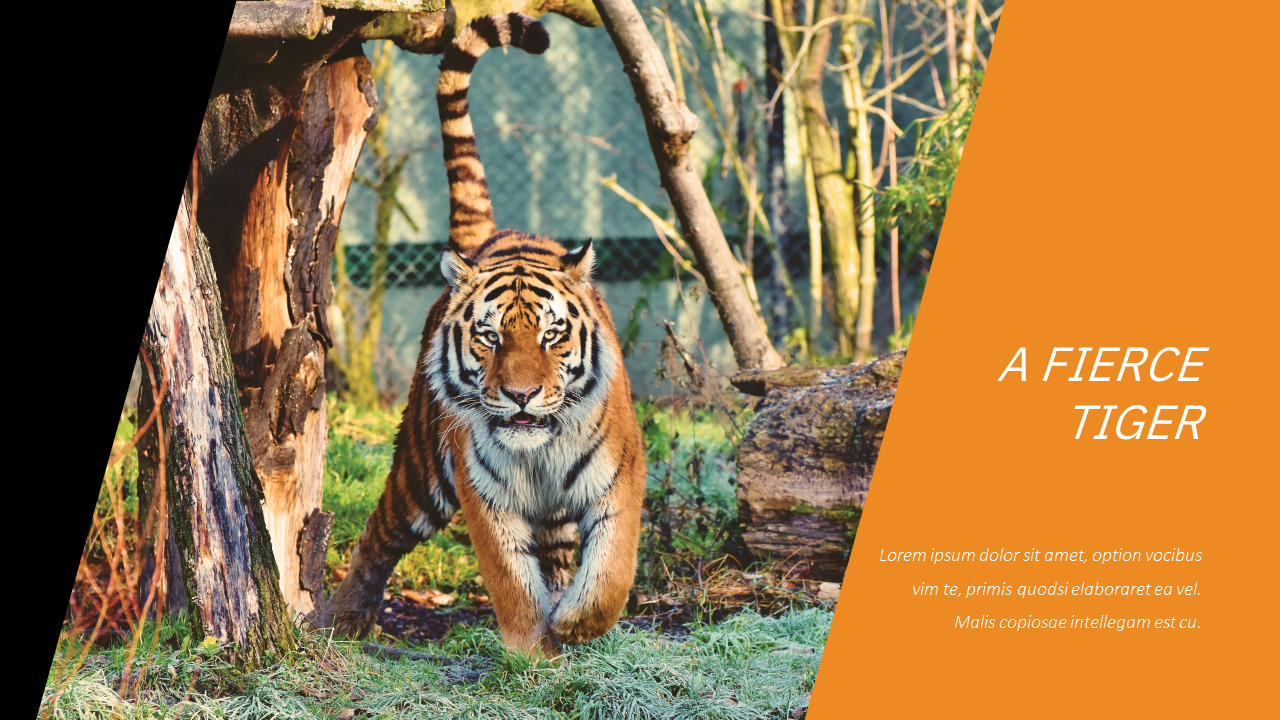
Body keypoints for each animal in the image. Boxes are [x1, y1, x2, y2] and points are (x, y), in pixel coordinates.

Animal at [321, 13, 647, 657]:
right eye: (490, 339)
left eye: (552, 336)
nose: (521, 396)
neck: (540, 452)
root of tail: (491, 236)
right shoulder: (484, 495)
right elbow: (511, 583)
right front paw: (531, 649)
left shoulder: (621, 476)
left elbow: (611, 572)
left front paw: (575, 624)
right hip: (421, 472)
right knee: (377, 535)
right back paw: (343, 617)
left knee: (560, 556)